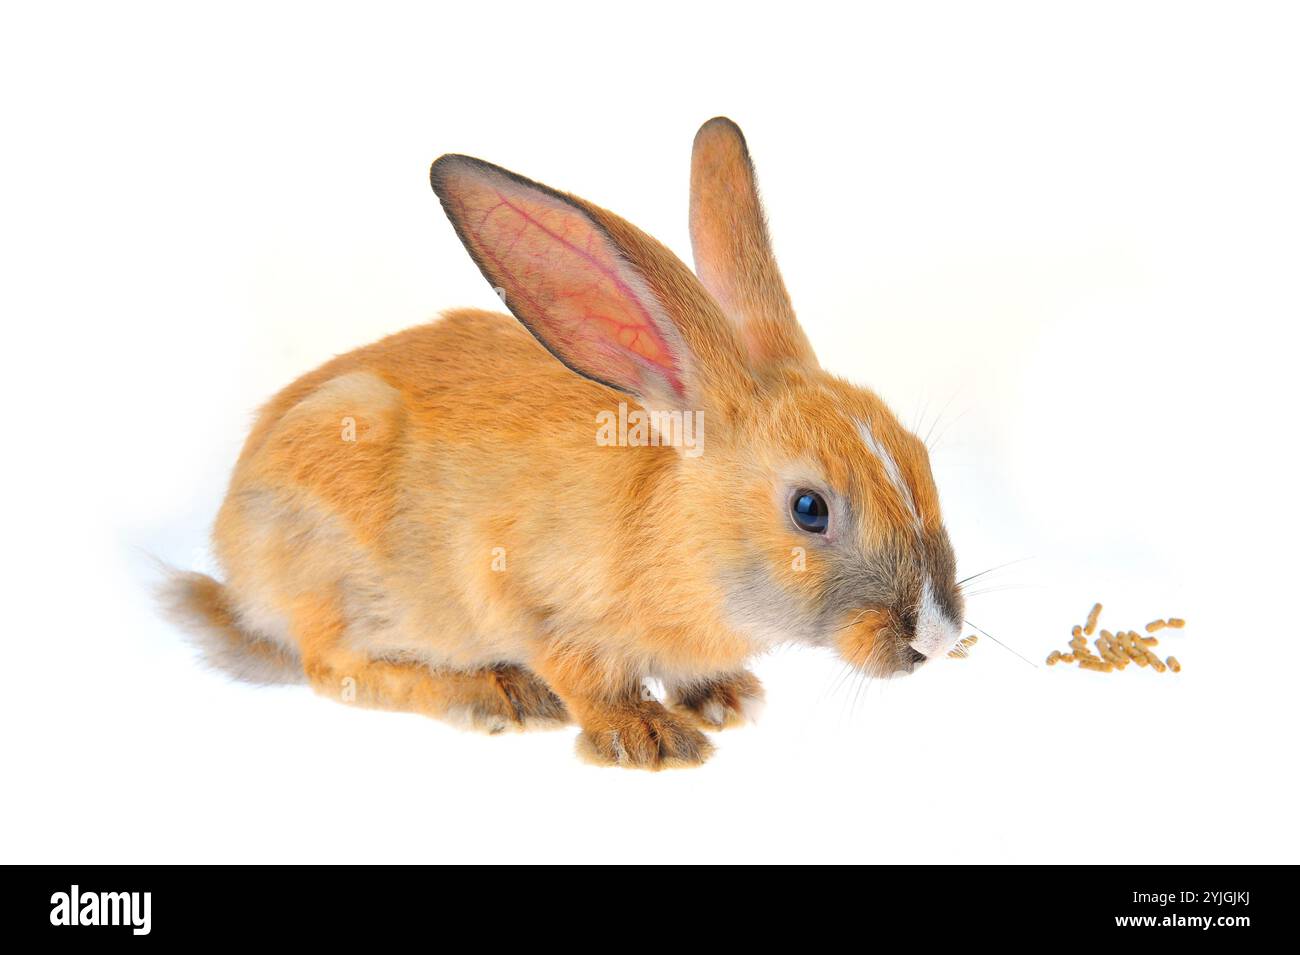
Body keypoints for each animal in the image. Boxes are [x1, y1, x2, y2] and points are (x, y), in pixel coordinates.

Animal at [162, 117, 965, 769]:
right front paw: (649, 738)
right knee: (332, 668)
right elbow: (582, 672)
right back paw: (492, 693)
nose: (937, 638)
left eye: (922, 460)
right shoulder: (519, 587)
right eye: (809, 508)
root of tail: (236, 566)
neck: (678, 532)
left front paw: (726, 698)